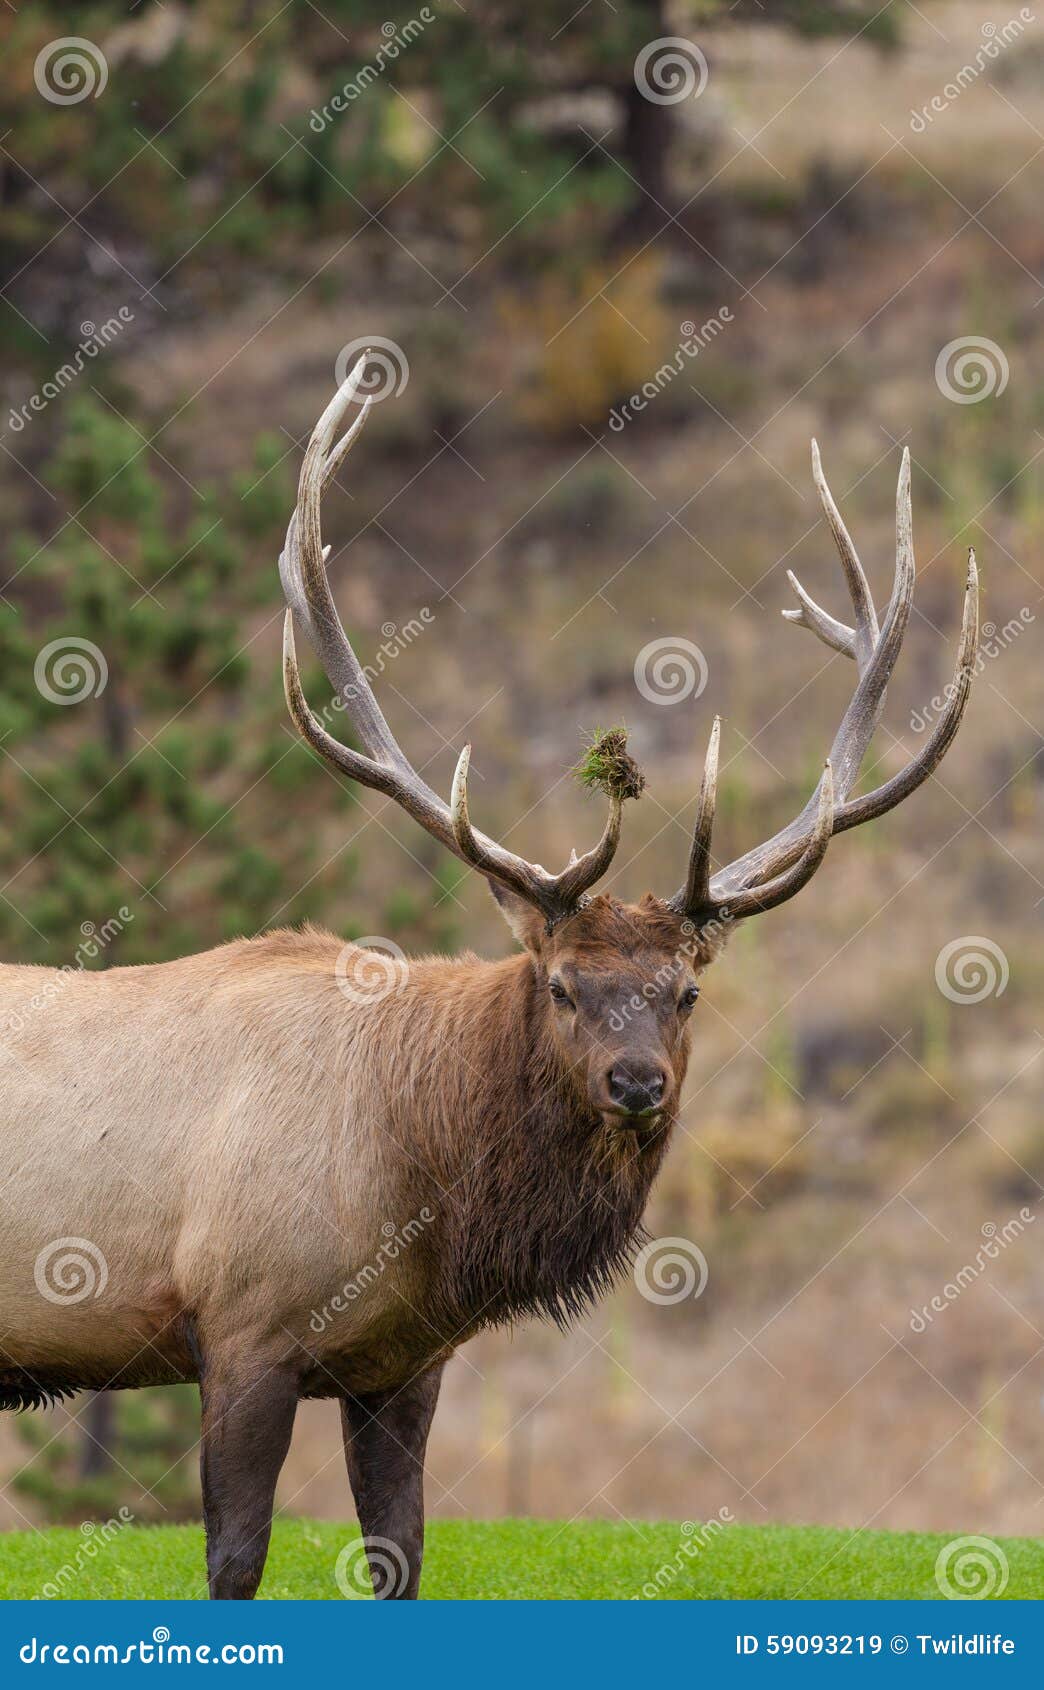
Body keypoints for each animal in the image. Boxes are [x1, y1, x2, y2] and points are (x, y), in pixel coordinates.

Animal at [0, 357, 977, 1600]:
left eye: (687, 992)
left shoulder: (402, 1361)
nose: (637, 1083)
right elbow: (234, 1562)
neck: (423, 1182)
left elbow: (399, 1555)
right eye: (561, 983)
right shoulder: (242, 1323)